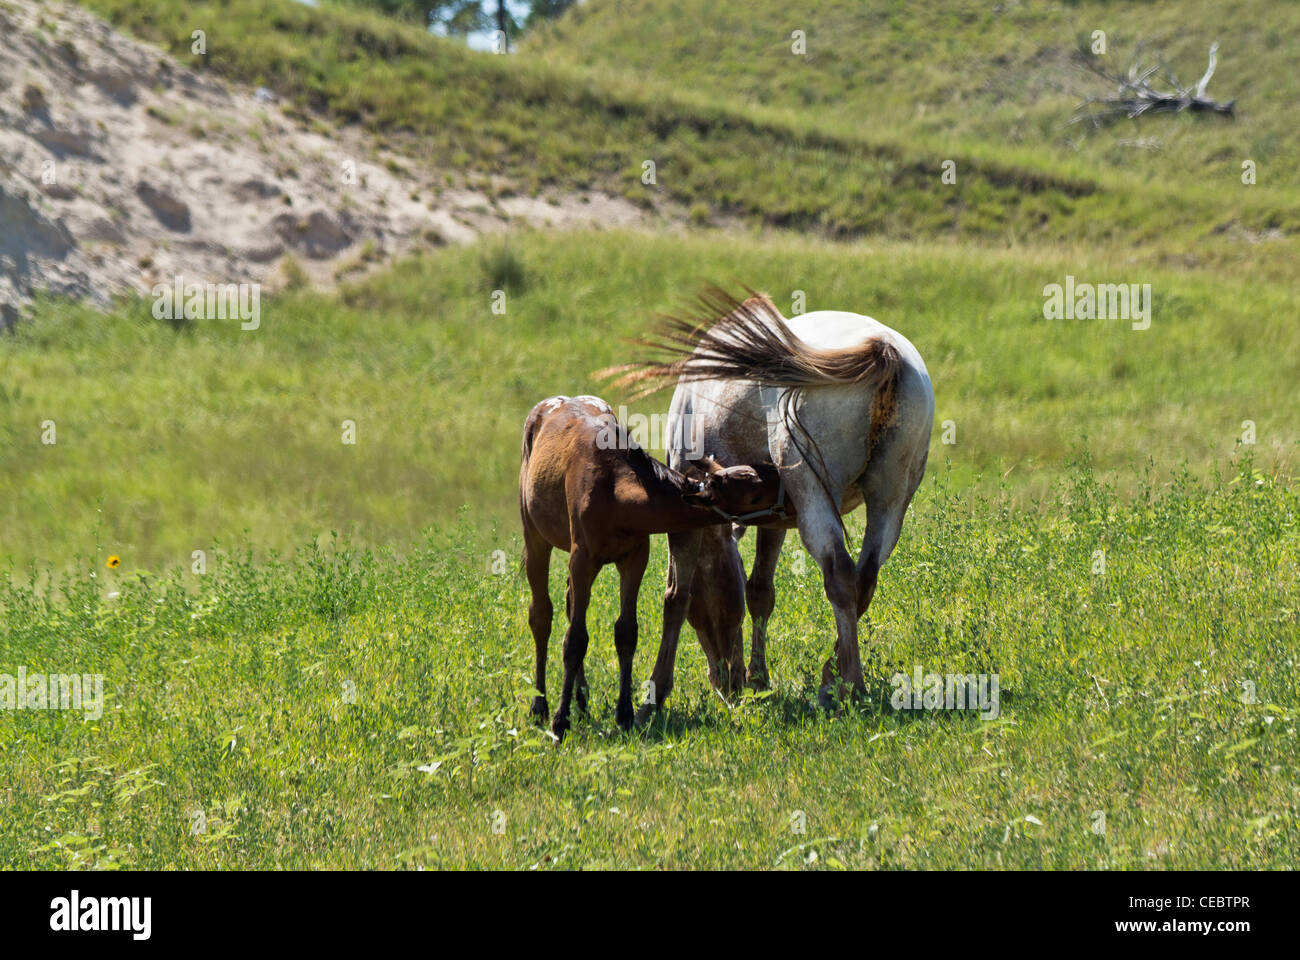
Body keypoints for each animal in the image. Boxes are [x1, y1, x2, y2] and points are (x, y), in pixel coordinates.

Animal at [519, 394, 781, 741]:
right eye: (753, 492)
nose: (781, 478)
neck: (615, 491)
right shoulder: (582, 557)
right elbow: (575, 638)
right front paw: (560, 722)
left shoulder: (634, 558)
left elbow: (626, 632)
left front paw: (625, 714)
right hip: (535, 536)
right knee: (542, 615)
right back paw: (540, 706)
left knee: (568, 602)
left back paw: (582, 701)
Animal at [609, 289, 934, 720]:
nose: (726, 683)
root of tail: (884, 350)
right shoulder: (774, 518)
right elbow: (760, 592)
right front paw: (759, 680)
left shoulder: (689, 519)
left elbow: (676, 597)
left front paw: (654, 696)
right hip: (891, 500)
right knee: (864, 579)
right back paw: (832, 677)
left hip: (816, 498)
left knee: (840, 574)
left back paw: (847, 686)